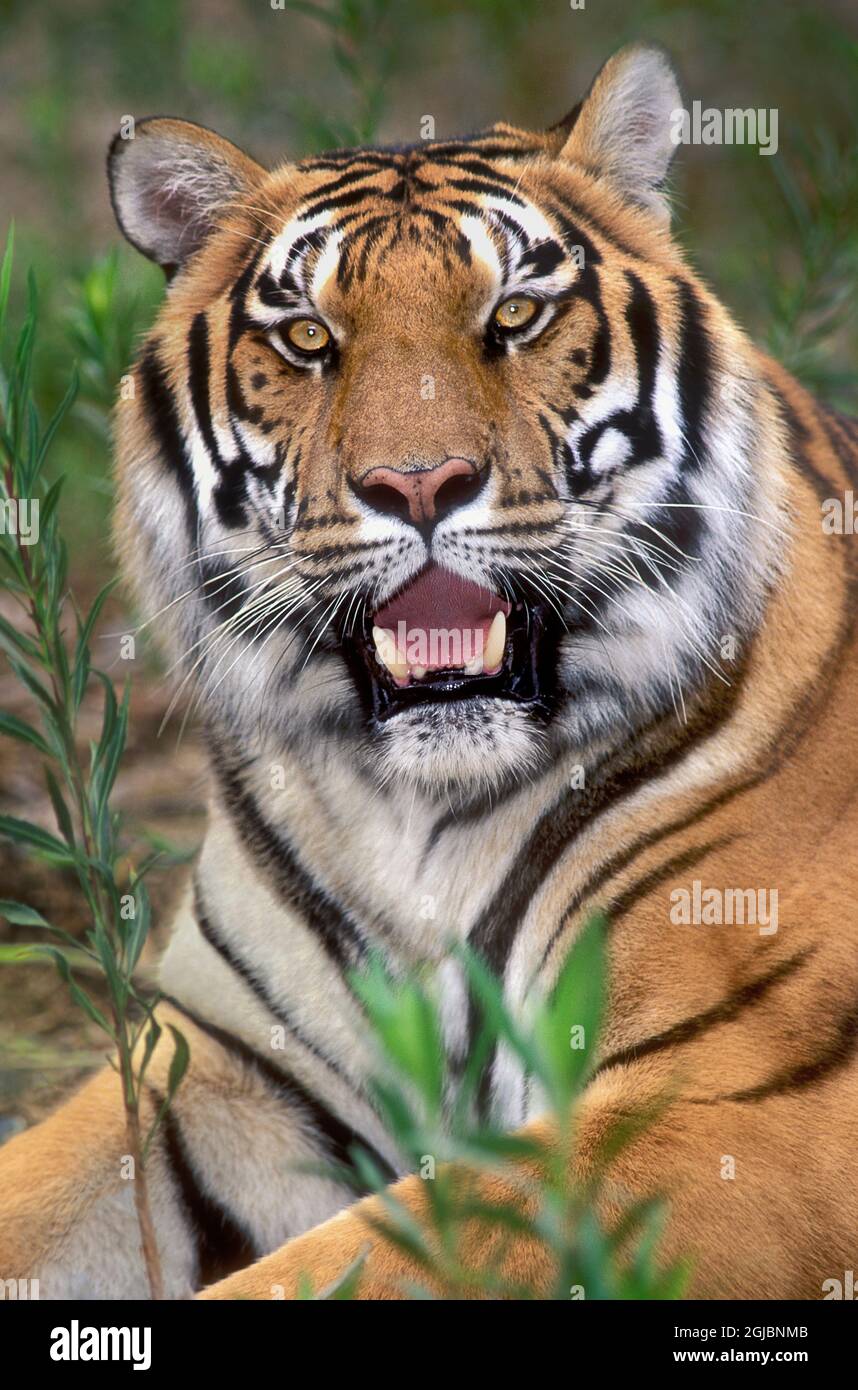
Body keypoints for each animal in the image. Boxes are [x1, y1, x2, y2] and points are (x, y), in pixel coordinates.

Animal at [1, 41, 857, 1302]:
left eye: (517, 314)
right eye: (309, 338)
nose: (419, 483)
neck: (413, 816)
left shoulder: (724, 1096)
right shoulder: (229, 1064)